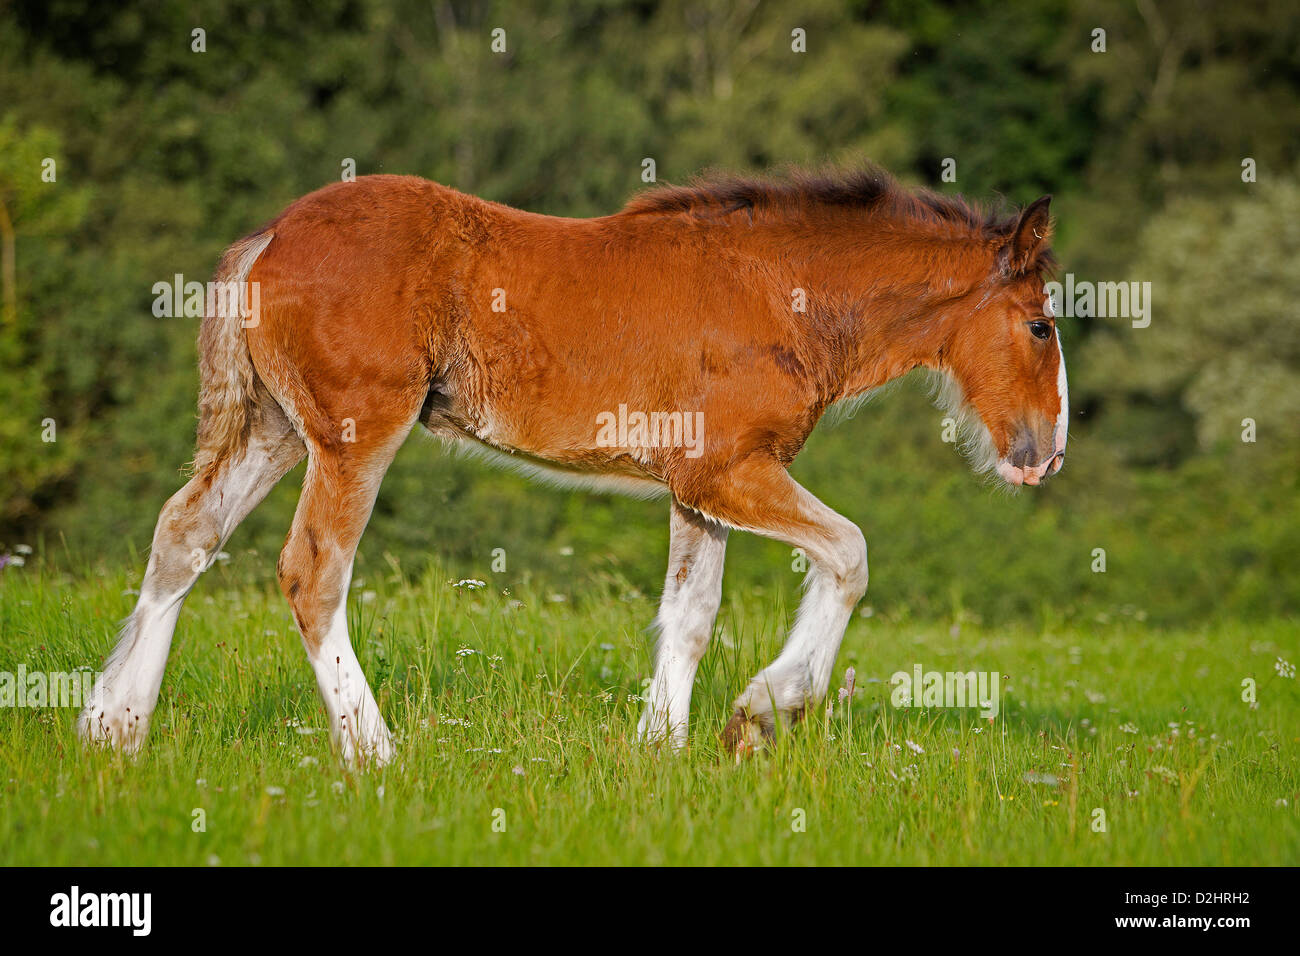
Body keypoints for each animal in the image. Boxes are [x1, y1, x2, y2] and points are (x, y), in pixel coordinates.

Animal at [78, 165, 1067, 766]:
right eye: (1040, 325)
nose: (1046, 455)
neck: (782, 291)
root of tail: (271, 235)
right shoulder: (727, 473)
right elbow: (851, 552)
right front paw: (764, 712)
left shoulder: (697, 489)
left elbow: (691, 615)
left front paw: (659, 752)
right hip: (357, 433)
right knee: (312, 569)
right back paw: (375, 752)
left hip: (279, 427)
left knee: (185, 534)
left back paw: (112, 729)